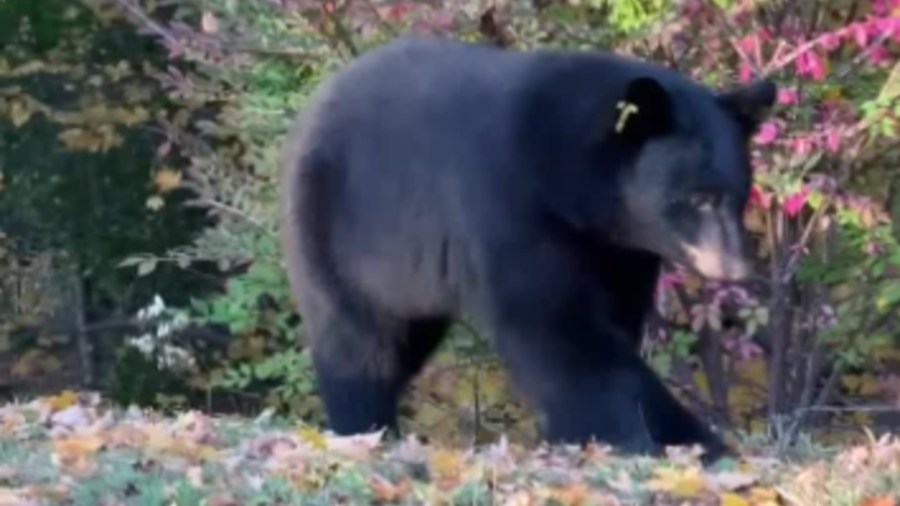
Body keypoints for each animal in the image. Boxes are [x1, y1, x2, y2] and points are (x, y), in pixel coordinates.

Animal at [279, 35, 776, 462]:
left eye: (739, 194)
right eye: (698, 197)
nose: (736, 269)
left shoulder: (620, 252)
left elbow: (612, 321)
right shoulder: (511, 204)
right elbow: (557, 326)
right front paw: (673, 437)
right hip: (339, 231)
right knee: (358, 341)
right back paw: (362, 425)